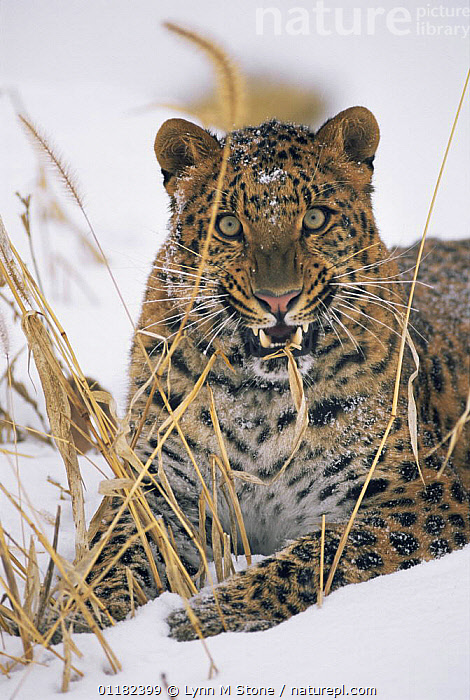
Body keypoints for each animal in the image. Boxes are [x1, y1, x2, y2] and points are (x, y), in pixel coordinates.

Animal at [48, 107, 470, 642]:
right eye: (228, 225)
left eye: (315, 218)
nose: (278, 299)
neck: (261, 404)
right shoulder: (160, 486)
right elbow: (116, 554)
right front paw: (76, 626)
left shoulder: (426, 495)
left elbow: (326, 553)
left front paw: (204, 617)